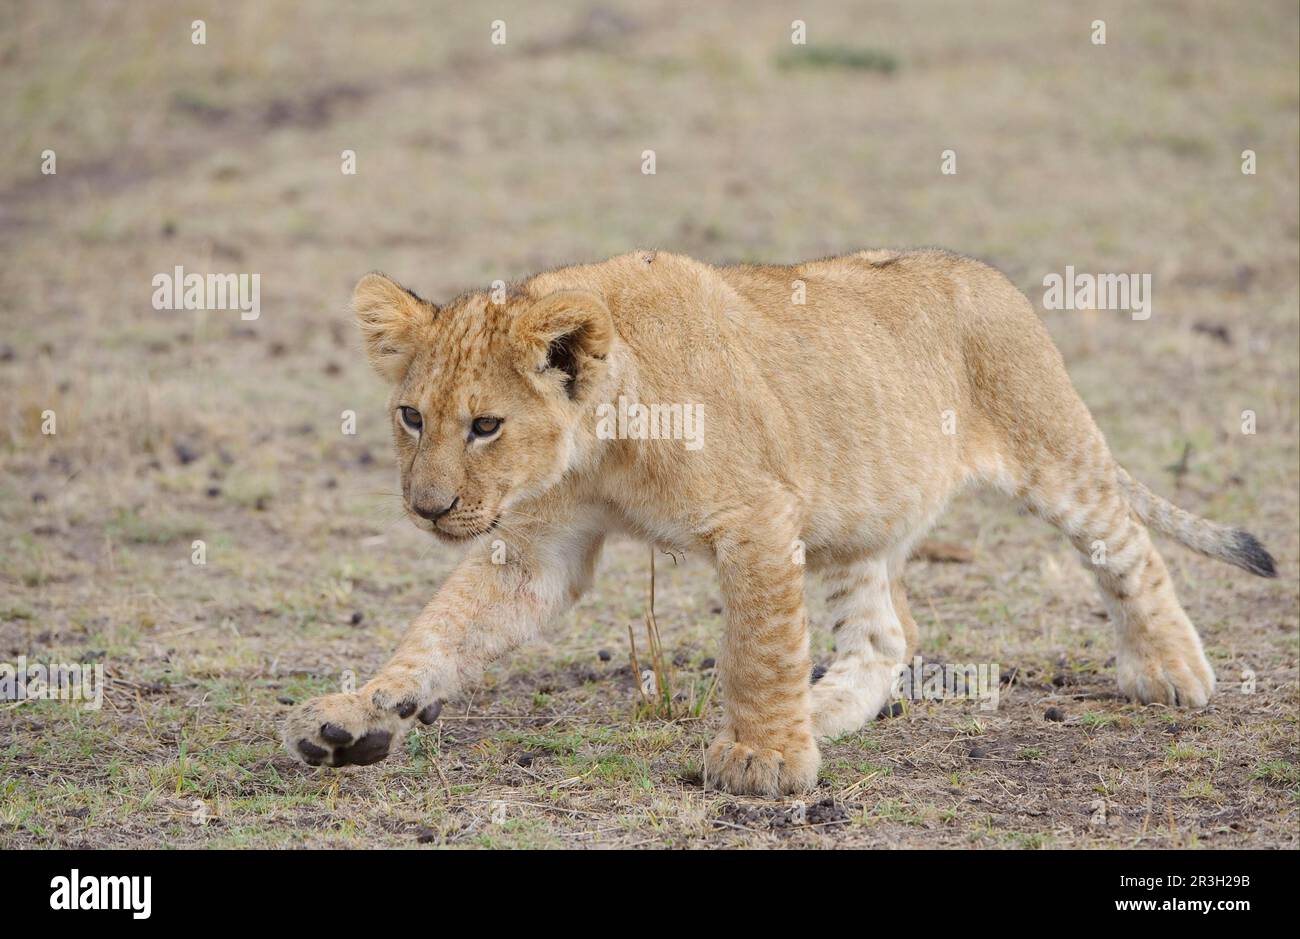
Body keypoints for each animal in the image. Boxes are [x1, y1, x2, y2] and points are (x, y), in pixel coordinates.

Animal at [283, 248, 1276, 796]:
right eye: (412, 416)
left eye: (486, 425)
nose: (427, 506)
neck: (600, 439)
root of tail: (987, 274)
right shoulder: (538, 548)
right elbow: (439, 631)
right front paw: (355, 714)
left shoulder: (757, 514)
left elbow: (754, 645)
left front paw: (762, 758)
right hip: (847, 518)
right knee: (885, 634)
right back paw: (825, 706)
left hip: (1050, 445)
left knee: (1127, 546)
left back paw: (1173, 671)